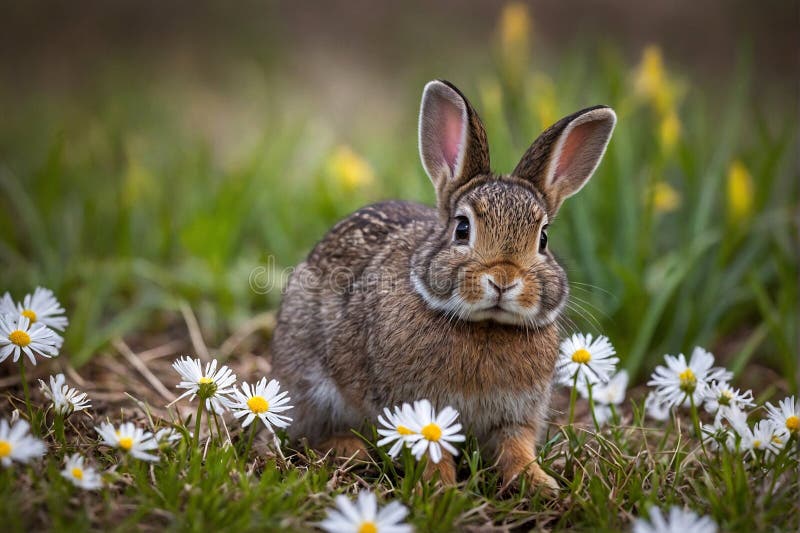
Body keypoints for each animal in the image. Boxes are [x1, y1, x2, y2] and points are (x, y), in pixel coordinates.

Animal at [270, 79, 616, 492]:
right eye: (462, 228)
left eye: (543, 239)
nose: (503, 280)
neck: (487, 325)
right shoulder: (414, 408)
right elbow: (430, 446)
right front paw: (439, 488)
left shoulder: (517, 414)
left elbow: (517, 447)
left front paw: (539, 481)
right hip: (309, 382)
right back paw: (349, 449)